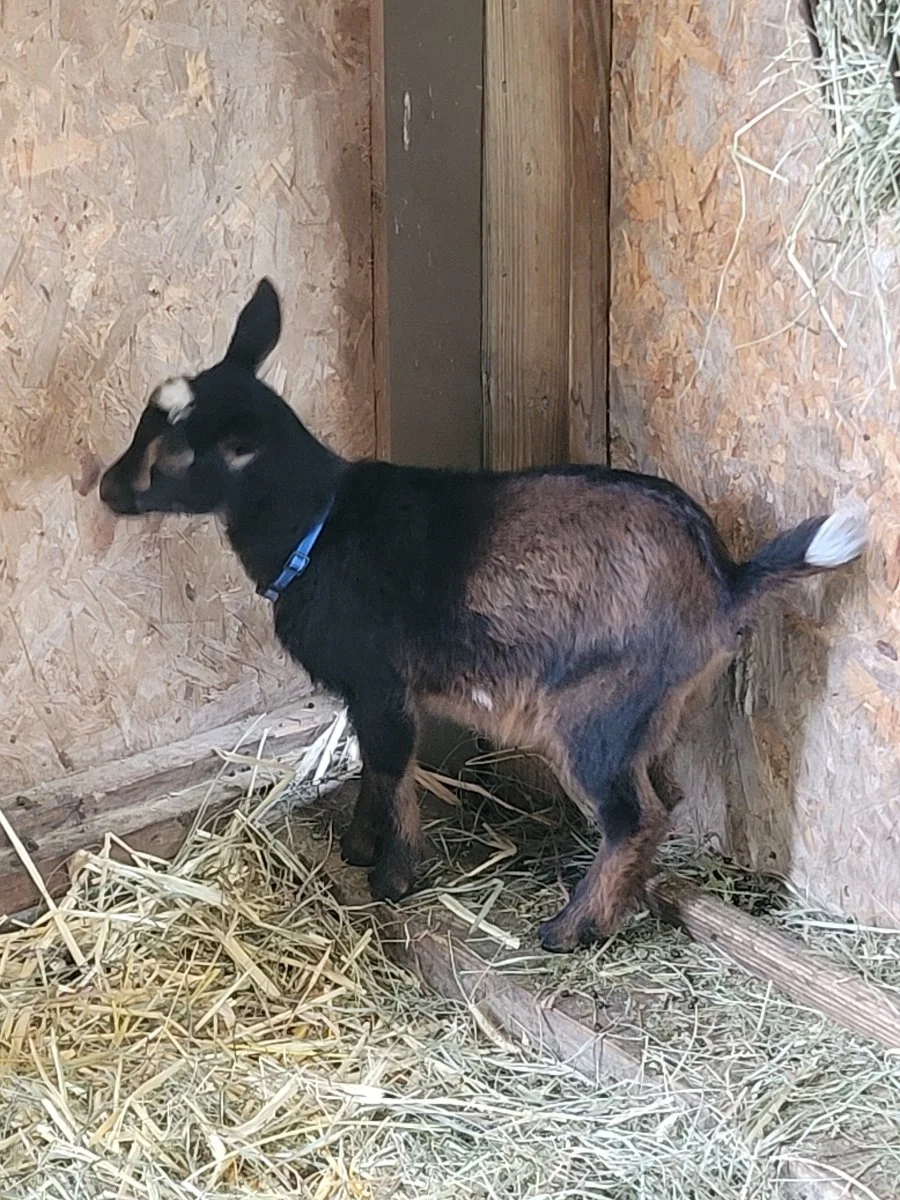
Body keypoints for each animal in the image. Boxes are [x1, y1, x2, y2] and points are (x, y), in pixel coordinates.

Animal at [99, 279, 868, 952]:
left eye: (173, 454)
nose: (105, 487)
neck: (317, 528)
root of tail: (725, 577)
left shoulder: (382, 682)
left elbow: (393, 768)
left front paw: (393, 877)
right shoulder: (367, 691)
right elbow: (372, 769)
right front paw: (359, 846)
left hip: (595, 710)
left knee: (634, 816)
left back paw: (570, 929)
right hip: (654, 710)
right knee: (665, 800)